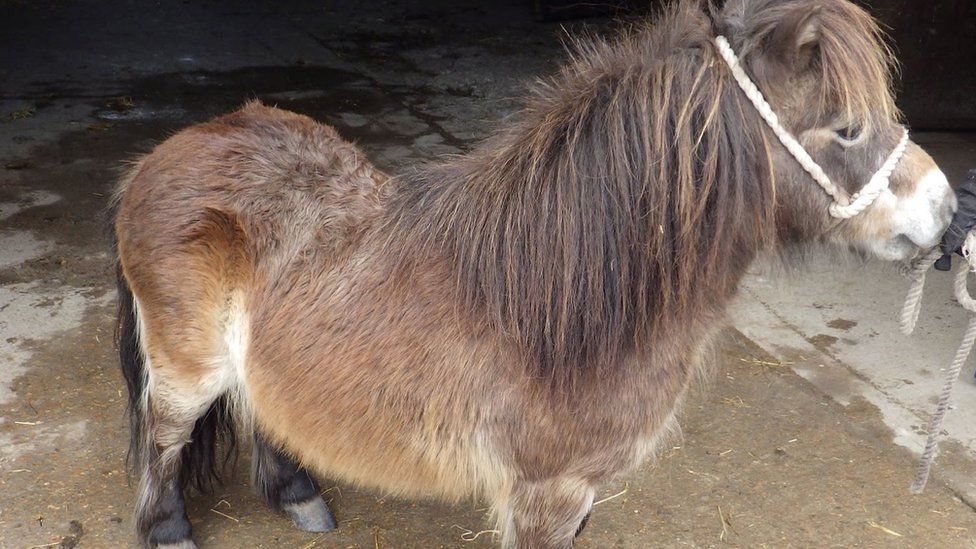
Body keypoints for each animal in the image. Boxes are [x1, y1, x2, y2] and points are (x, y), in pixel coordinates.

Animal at [111, 0, 956, 547]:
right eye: (846, 128)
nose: (949, 210)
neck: (564, 304)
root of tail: (174, 148)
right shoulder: (546, 494)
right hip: (185, 365)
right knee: (165, 431)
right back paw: (167, 529)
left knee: (260, 406)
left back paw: (298, 494)